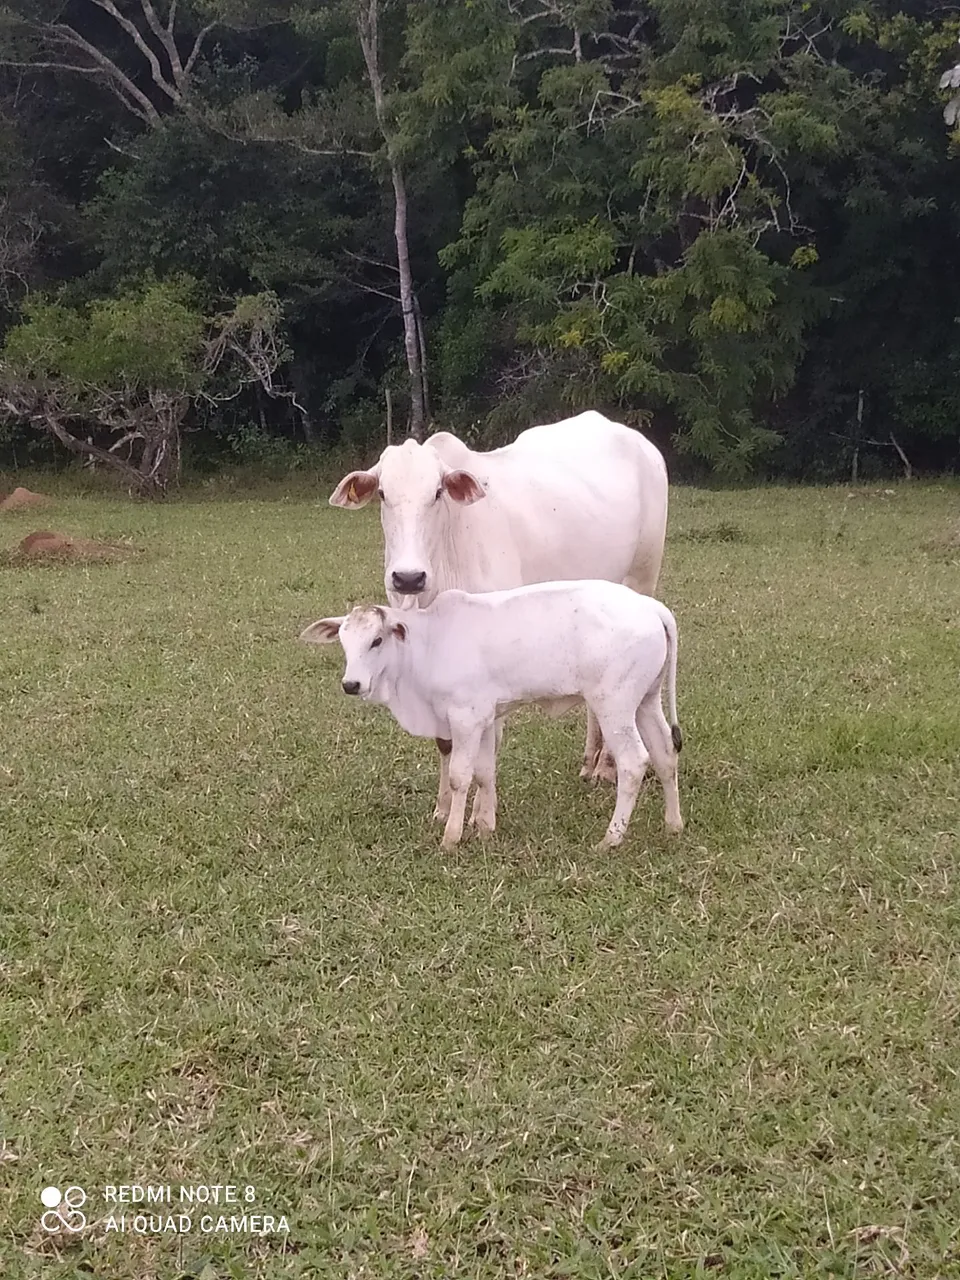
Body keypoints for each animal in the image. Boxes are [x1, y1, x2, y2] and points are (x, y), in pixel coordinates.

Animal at [300, 580, 684, 851]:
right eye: (344, 642)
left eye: (377, 640)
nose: (351, 684)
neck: (427, 644)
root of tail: (649, 606)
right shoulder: (485, 716)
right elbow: (485, 772)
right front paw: (484, 825)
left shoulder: (465, 718)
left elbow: (460, 776)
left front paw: (452, 836)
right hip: (646, 701)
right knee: (665, 754)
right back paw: (673, 824)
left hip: (613, 706)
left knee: (634, 762)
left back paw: (611, 838)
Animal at [328, 411, 670, 807]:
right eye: (383, 494)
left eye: (437, 492)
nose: (408, 578)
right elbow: (446, 742)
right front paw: (443, 808)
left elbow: (486, 750)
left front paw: (480, 811)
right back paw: (590, 761)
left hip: (641, 580)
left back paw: (607, 766)